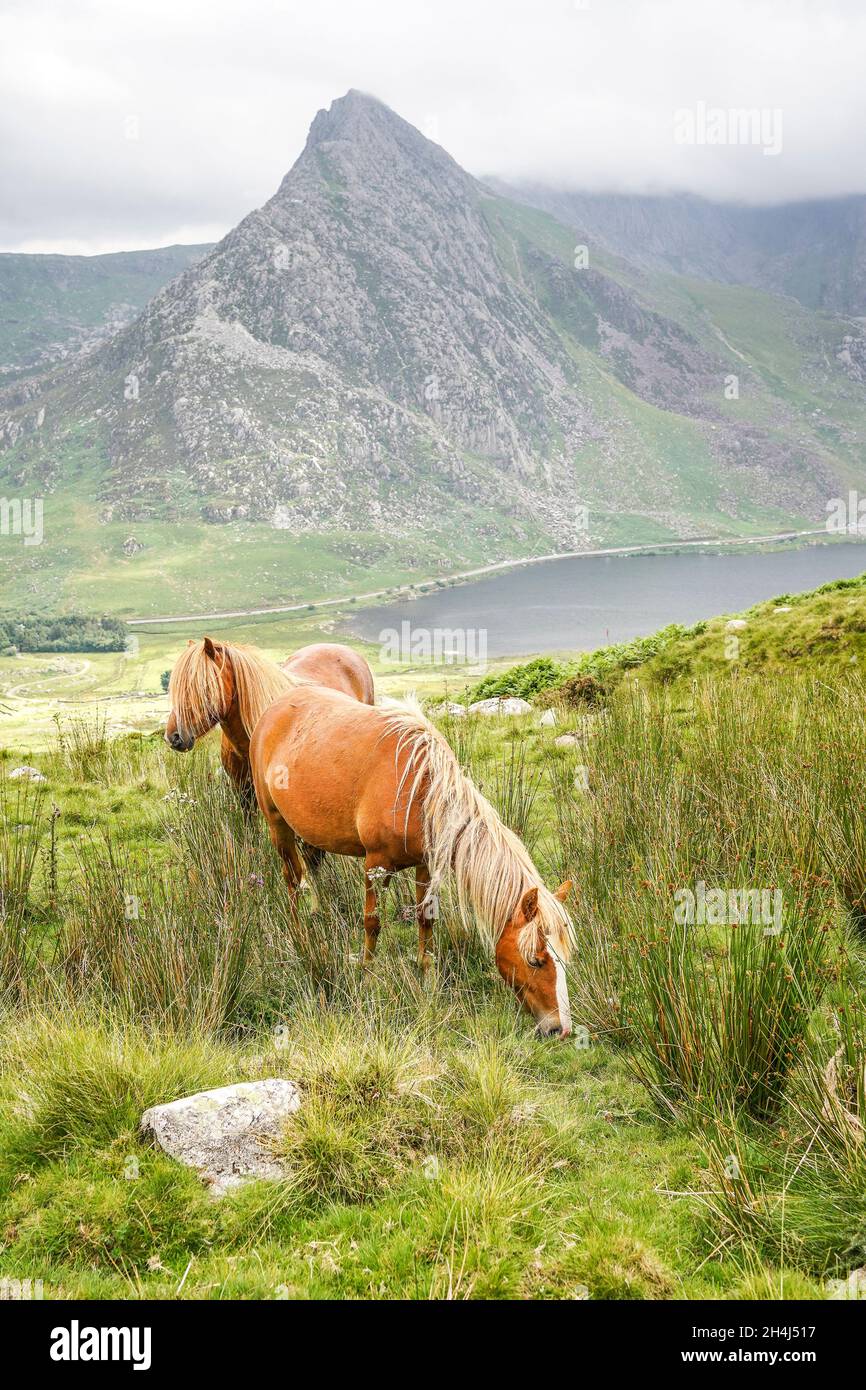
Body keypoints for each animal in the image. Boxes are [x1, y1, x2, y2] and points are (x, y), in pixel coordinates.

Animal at [249, 685, 575, 1035]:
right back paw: (300, 937)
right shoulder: (375, 866)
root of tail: (275, 708)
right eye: (535, 960)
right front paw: (367, 976)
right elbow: (372, 923)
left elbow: (425, 919)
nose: (560, 1028)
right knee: (292, 880)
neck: (422, 791)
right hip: (277, 825)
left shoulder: (425, 865)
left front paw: (428, 979)